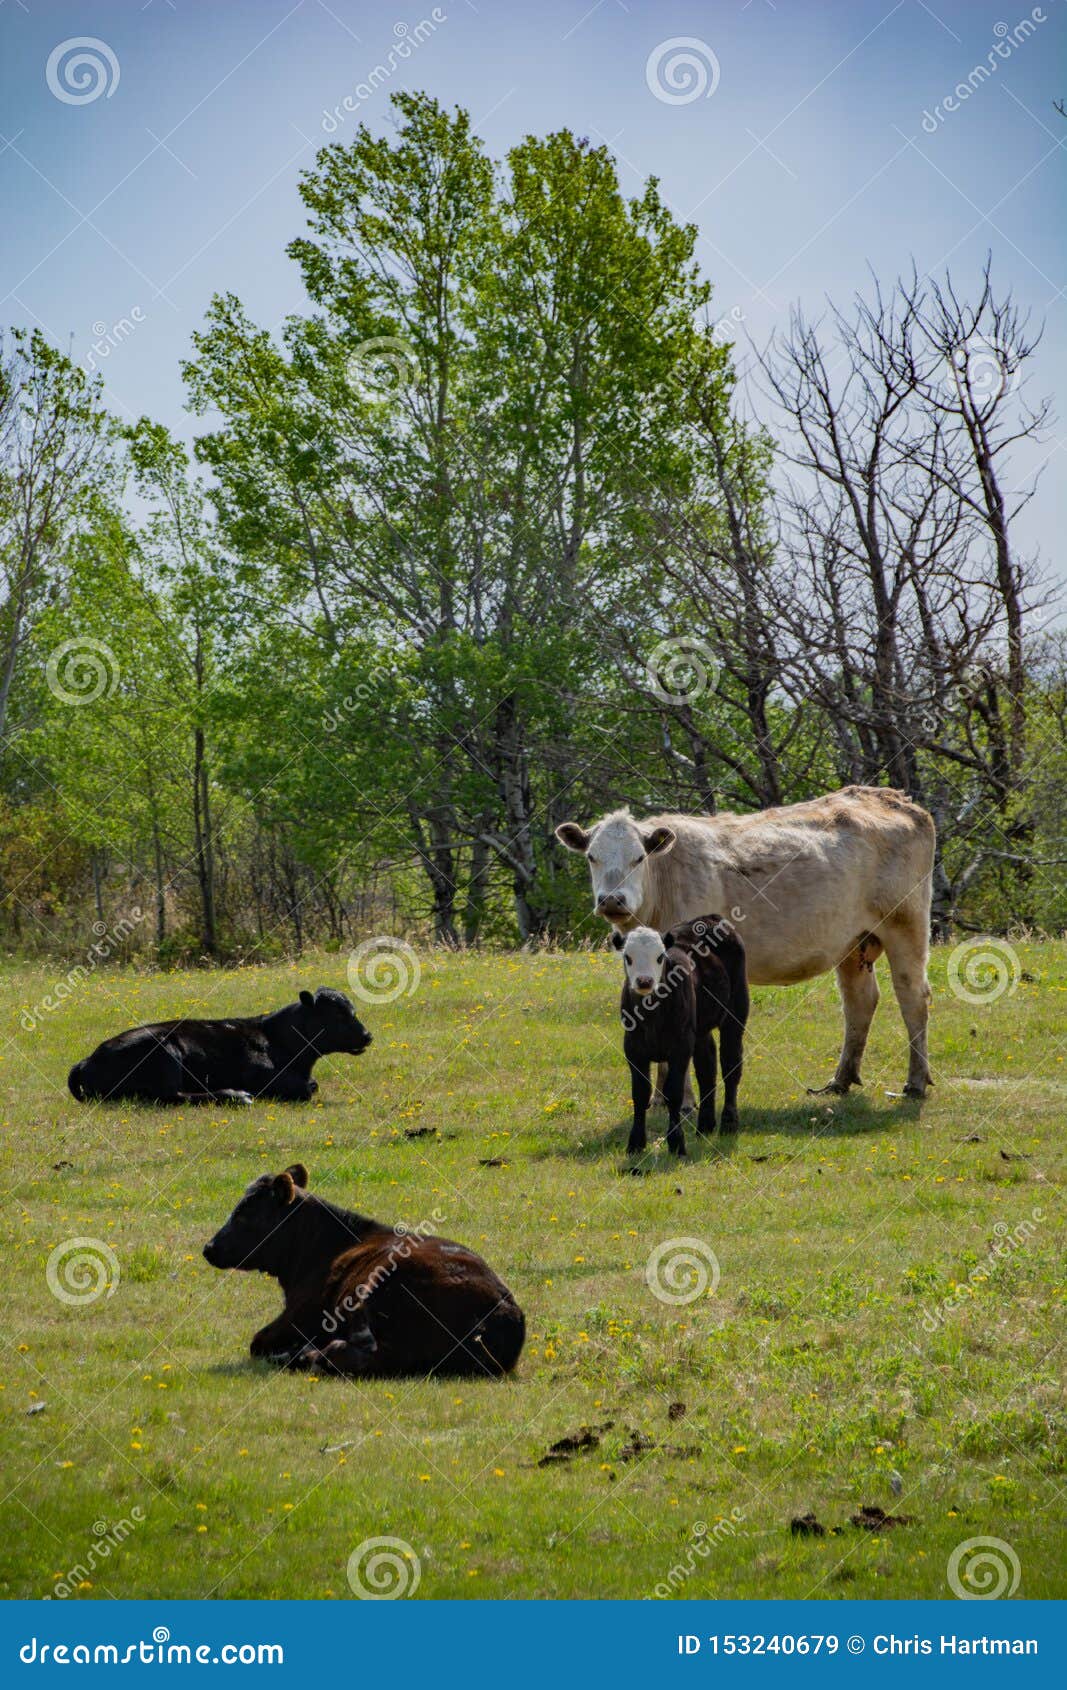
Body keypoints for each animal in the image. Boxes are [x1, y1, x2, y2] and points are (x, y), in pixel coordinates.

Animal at [68, 987, 371, 1105]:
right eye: (337, 1015)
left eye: (352, 1010)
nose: (368, 1036)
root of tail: (87, 1060)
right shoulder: (258, 1073)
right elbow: (304, 1089)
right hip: (164, 1051)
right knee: (172, 1096)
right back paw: (235, 1096)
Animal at [557, 786, 934, 1099]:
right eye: (592, 856)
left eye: (639, 858)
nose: (612, 899)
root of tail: (892, 798)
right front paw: (661, 1099)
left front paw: (682, 1100)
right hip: (853, 943)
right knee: (860, 1002)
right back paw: (840, 1080)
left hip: (906, 925)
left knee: (912, 997)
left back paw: (915, 1082)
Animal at [614, 915, 748, 1157]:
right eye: (628, 957)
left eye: (660, 957)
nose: (645, 981)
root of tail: (711, 918)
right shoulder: (632, 1047)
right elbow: (640, 1093)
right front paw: (635, 1144)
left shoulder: (681, 1046)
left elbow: (674, 1092)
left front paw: (677, 1143)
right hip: (700, 1029)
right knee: (707, 1067)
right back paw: (705, 1125)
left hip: (737, 1010)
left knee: (731, 1065)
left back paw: (729, 1124)